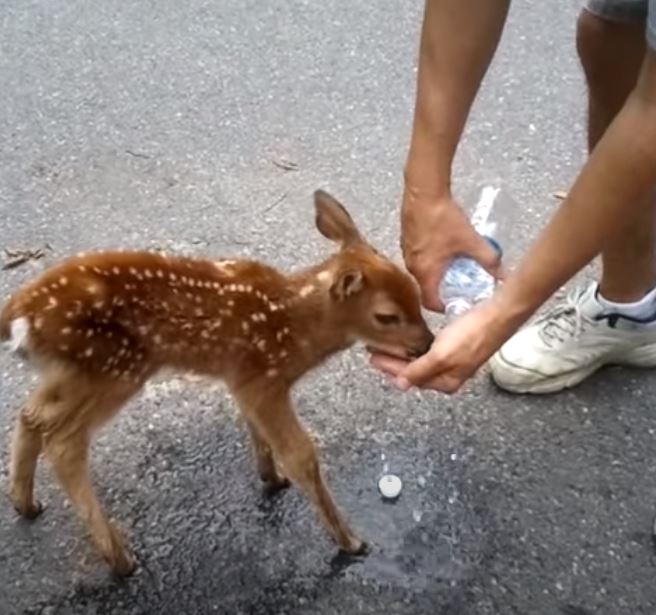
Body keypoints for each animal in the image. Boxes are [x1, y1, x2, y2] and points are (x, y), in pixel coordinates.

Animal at [0, 190, 434, 577]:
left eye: (416, 294)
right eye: (387, 317)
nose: (428, 343)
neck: (295, 329)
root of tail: (20, 313)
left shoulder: (241, 379)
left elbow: (259, 432)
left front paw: (270, 477)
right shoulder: (263, 378)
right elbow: (301, 455)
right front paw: (350, 541)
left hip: (76, 371)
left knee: (32, 414)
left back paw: (25, 503)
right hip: (115, 367)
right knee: (63, 442)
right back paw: (120, 559)